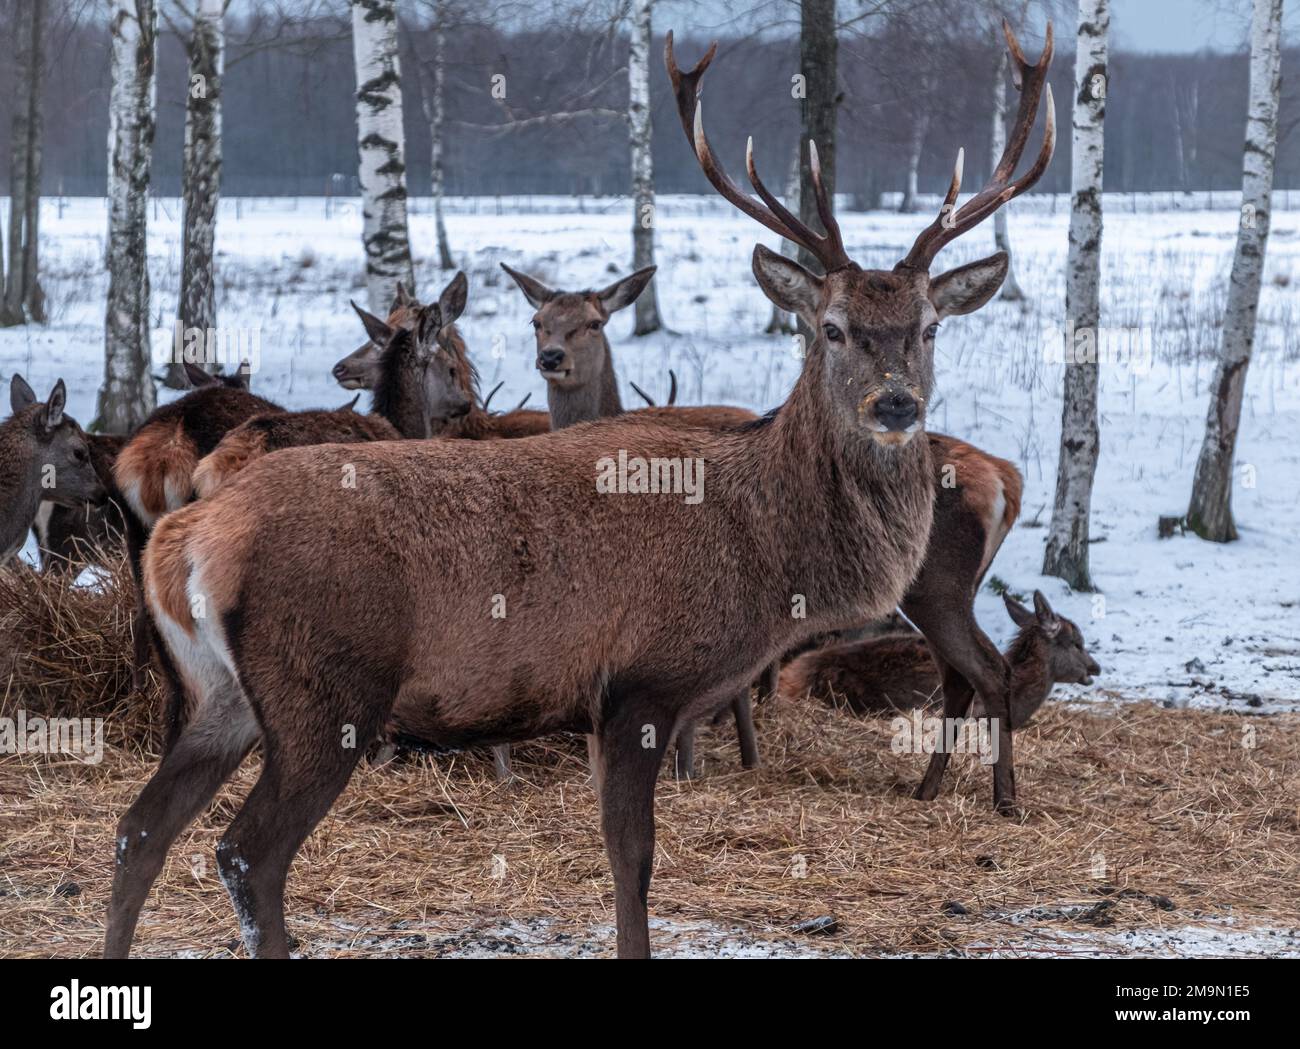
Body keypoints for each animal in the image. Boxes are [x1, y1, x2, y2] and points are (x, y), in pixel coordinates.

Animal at [103, 20, 1053, 959]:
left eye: (928, 327)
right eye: (832, 327)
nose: (896, 403)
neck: (763, 554)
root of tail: (184, 540)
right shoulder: (640, 683)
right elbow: (632, 861)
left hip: (221, 694)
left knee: (140, 827)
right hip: (324, 689)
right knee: (245, 850)